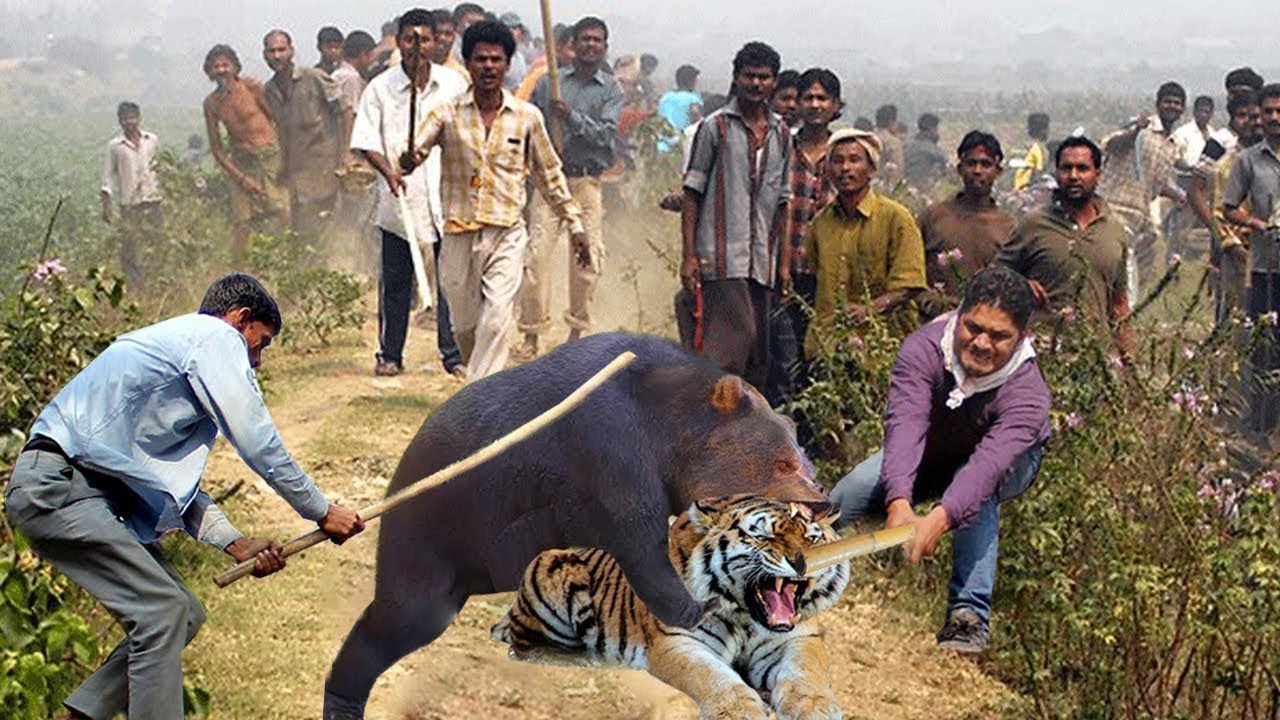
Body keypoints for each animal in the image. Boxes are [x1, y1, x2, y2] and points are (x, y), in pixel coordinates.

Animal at [489, 494, 851, 720]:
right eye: (762, 537)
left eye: (812, 538)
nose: (803, 562)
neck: (745, 616)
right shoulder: (678, 642)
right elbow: (710, 675)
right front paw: (739, 710)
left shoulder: (798, 638)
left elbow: (806, 671)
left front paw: (813, 706)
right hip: (551, 562)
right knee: (526, 647)